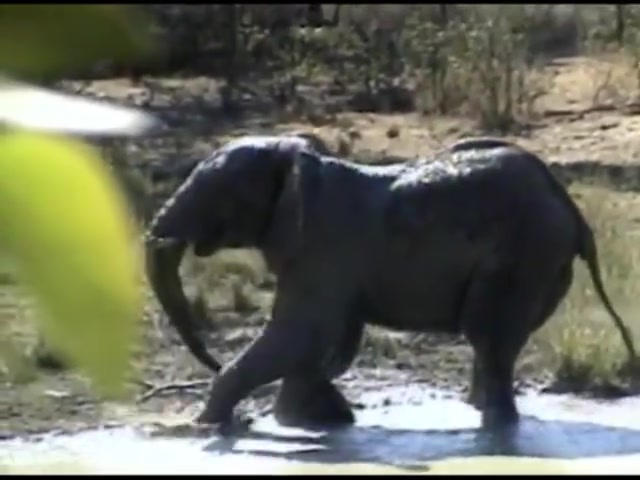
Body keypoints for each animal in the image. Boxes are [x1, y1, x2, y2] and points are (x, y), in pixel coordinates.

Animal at [144, 133, 637, 432]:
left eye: (216, 191)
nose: (211, 361)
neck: (298, 158)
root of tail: (571, 208)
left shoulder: (322, 243)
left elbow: (301, 333)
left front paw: (207, 426)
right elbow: (329, 339)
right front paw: (315, 422)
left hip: (526, 250)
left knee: (488, 335)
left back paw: (495, 428)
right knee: (493, 343)